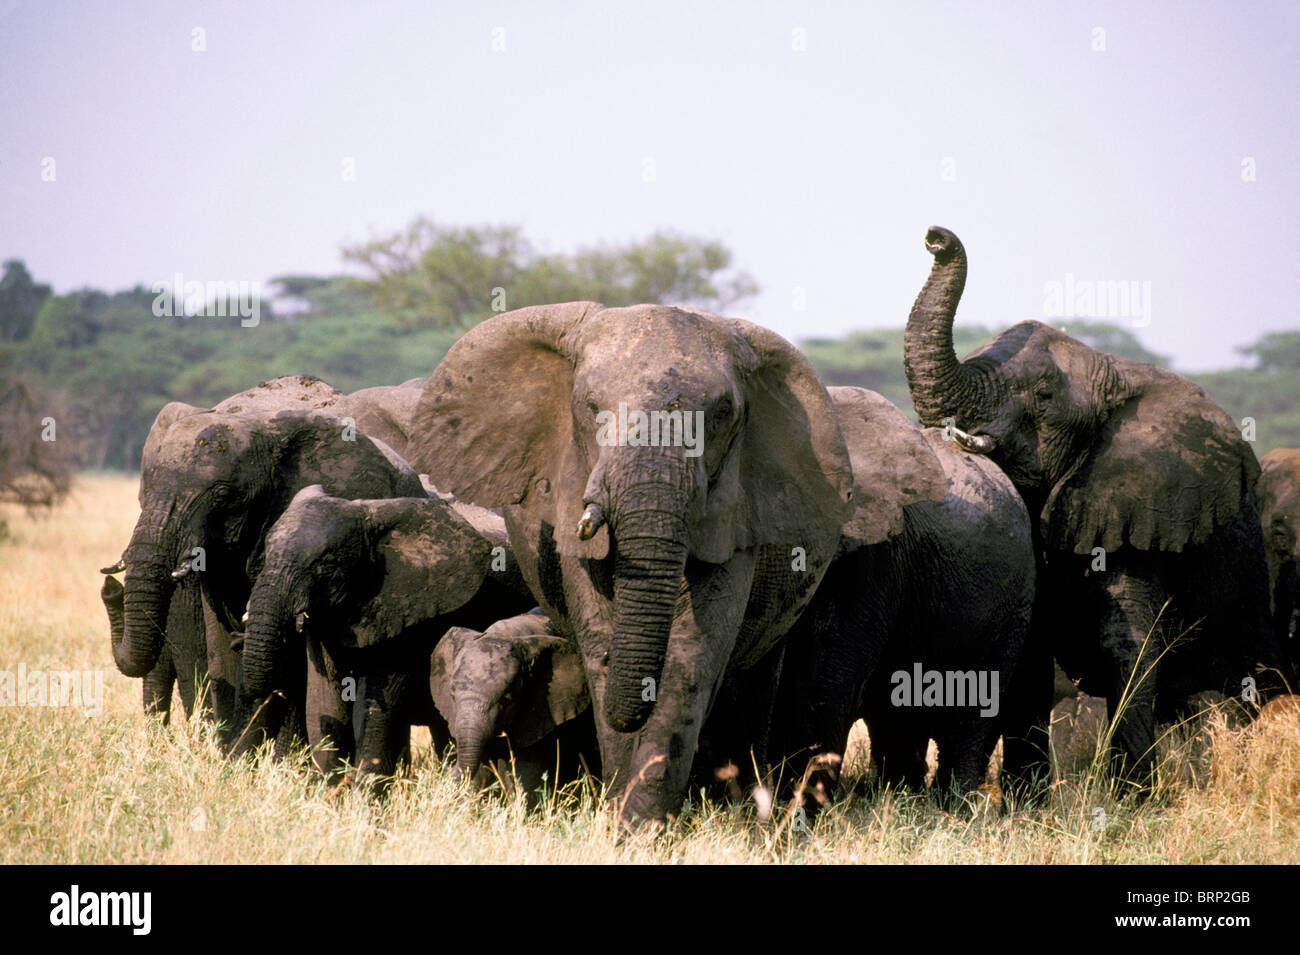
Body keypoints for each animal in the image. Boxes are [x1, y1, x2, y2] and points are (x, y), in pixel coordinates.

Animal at [113, 404, 426, 753]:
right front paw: (226, 754)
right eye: (146, 489)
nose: (109, 589)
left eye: (222, 495)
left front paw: (279, 759)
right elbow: (221, 640)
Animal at [236, 486, 537, 779]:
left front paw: (363, 792)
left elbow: (375, 706)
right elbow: (325, 699)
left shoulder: (408, 610)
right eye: (266, 552)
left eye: (328, 564)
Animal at [755, 386, 1034, 804]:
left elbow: (822, 689)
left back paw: (953, 809)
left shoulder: (872, 561)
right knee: (898, 725)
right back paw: (902, 799)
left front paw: (796, 812)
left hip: (1015, 606)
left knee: (970, 720)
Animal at [903, 225, 1290, 783]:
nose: (935, 237)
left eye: (1043, 396)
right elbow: (1032, 645)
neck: (1114, 374)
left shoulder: (1142, 509)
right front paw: (1027, 798)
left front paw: (1132, 792)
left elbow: (1124, 640)